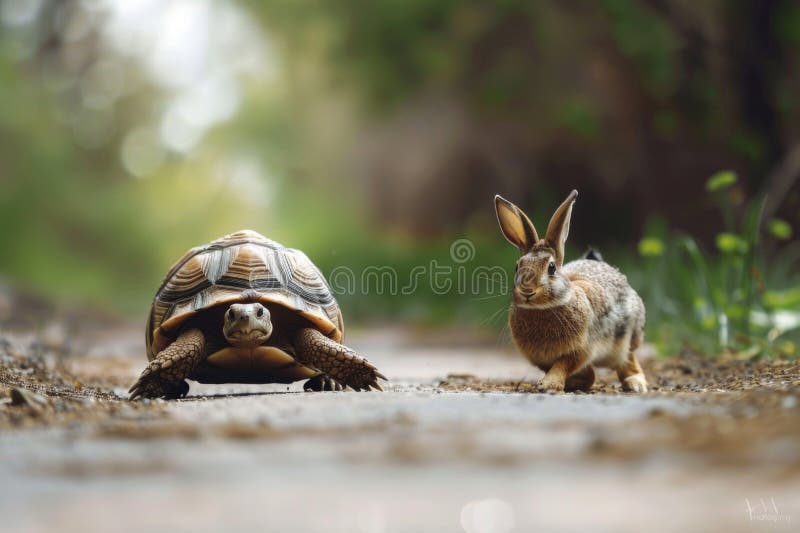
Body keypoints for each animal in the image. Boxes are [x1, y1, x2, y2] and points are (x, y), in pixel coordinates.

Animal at [494, 190, 648, 393]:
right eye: (517, 267)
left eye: (551, 268)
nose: (527, 291)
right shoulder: (541, 358)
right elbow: (576, 371)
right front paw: (571, 382)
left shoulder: (580, 350)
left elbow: (563, 365)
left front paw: (548, 385)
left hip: (627, 338)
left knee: (628, 361)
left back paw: (635, 384)